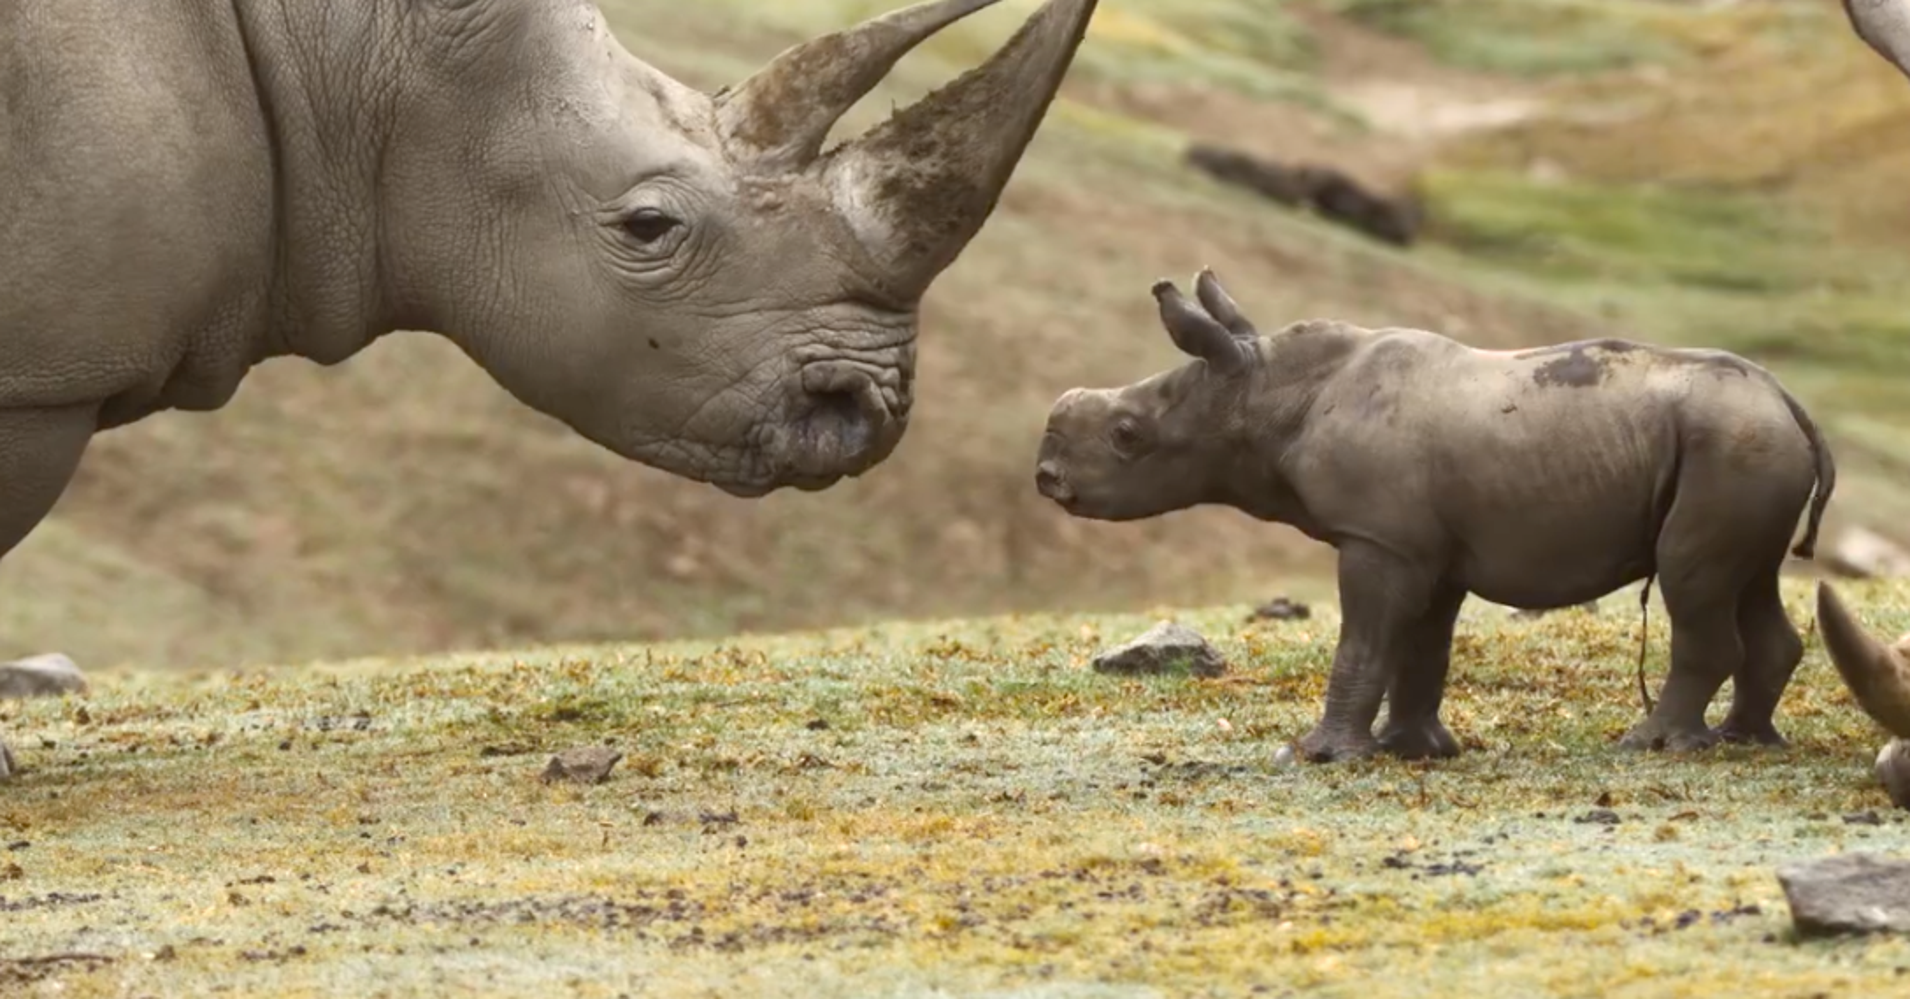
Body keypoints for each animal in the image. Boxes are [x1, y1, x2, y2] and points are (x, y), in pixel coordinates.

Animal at [1034, 270, 1835, 763]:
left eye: (1127, 436)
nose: (1045, 480)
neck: (1265, 392)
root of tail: (1790, 401)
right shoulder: (1425, 547)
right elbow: (1421, 647)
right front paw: (1412, 750)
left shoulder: (1378, 539)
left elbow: (1363, 641)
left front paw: (1317, 754)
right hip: (1741, 445)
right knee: (1746, 579)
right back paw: (1743, 740)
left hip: (1732, 445)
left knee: (1691, 580)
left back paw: (1651, 744)